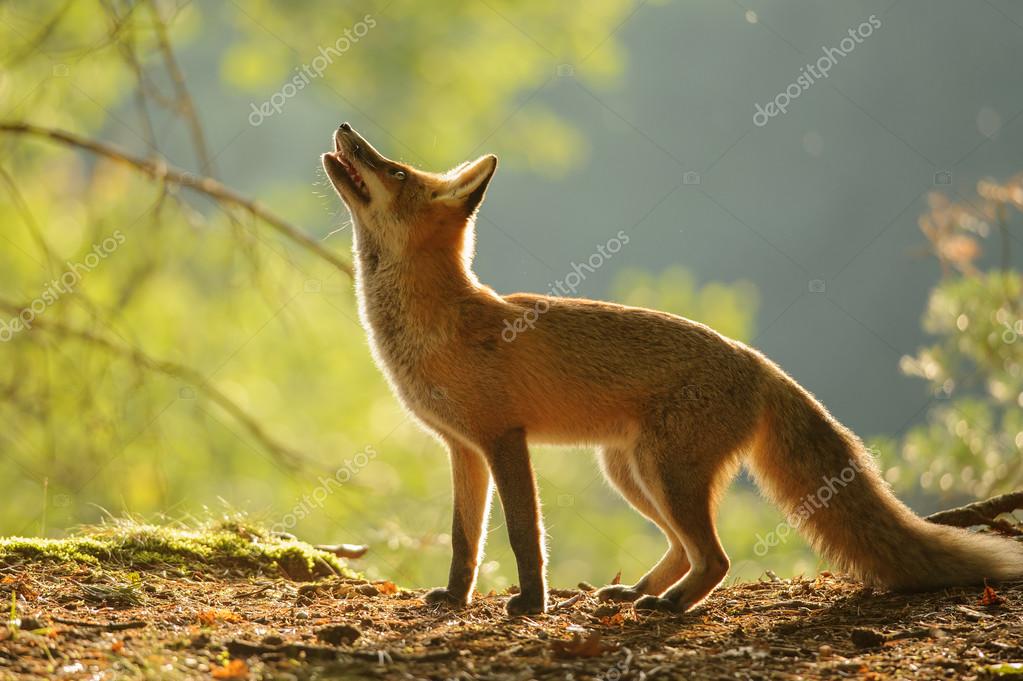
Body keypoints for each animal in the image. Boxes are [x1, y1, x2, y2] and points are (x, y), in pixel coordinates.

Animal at [321, 122, 1023, 616]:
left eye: (391, 169)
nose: (346, 128)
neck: (440, 326)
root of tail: (757, 361)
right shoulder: (463, 449)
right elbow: (465, 540)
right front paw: (457, 599)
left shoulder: (503, 439)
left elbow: (523, 534)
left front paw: (531, 605)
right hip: (631, 472)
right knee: (684, 549)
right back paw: (638, 594)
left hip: (664, 473)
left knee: (715, 558)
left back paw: (672, 605)